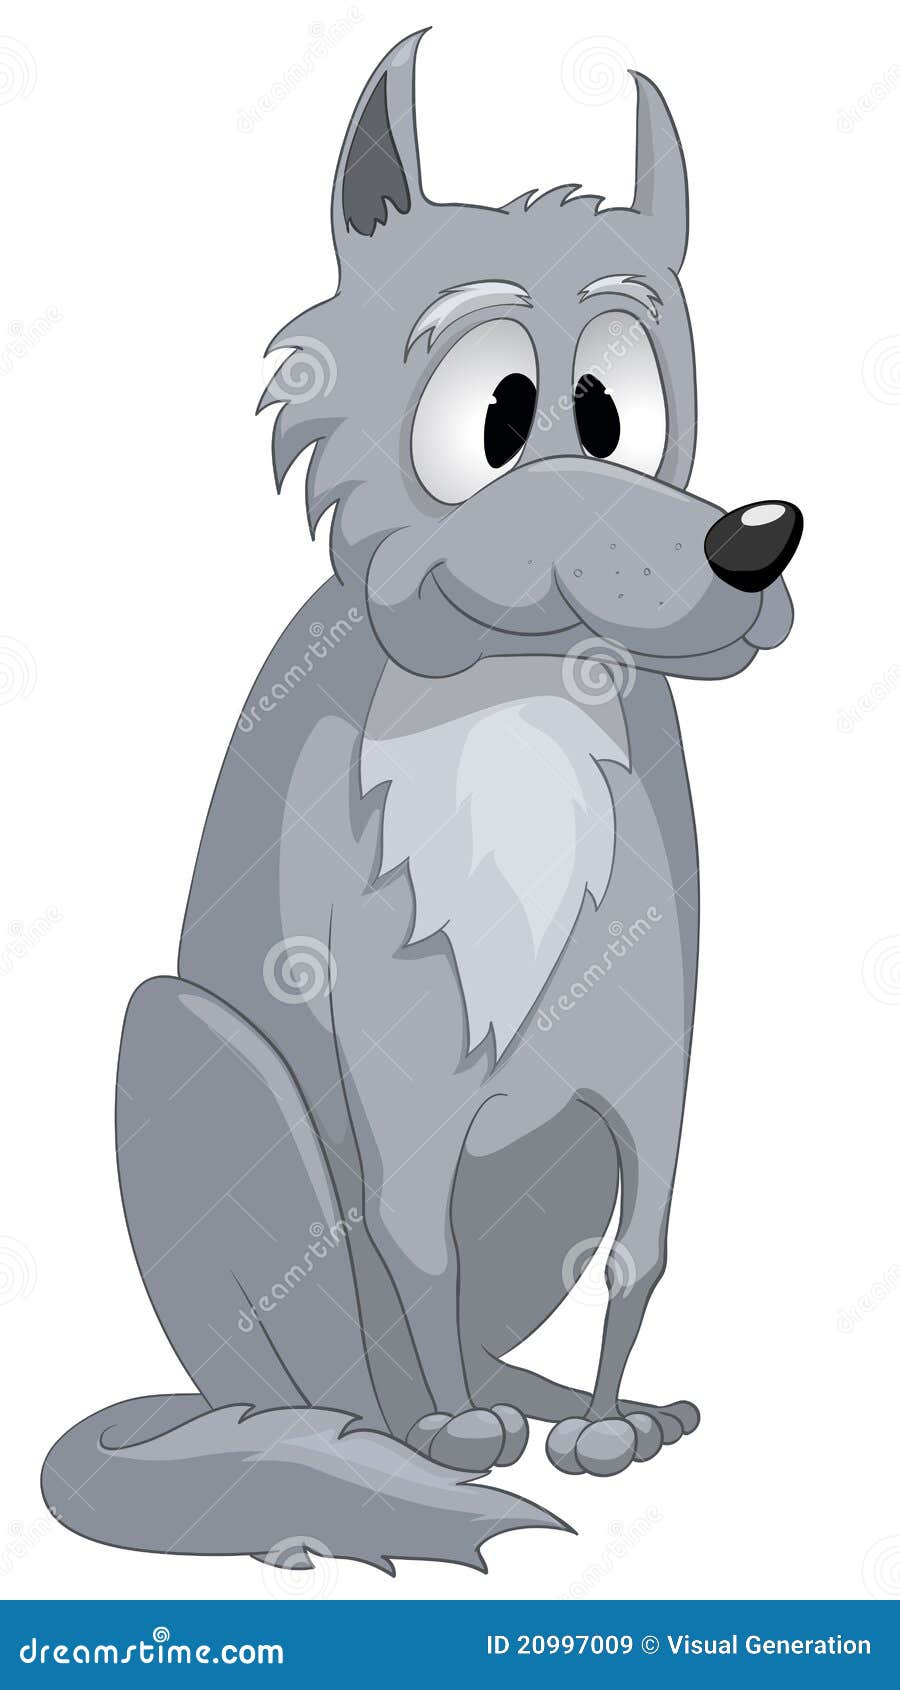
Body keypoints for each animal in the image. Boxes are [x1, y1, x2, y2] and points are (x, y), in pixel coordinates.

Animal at [42, 31, 801, 1572]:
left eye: (615, 413)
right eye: (501, 416)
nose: (758, 544)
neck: (512, 687)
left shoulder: (655, 1034)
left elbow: (646, 1239)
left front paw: (607, 1421)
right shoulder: (391, 1073)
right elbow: (408, 1235)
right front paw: (443, 1443)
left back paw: (538, 1400)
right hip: (195, 1052)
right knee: (330, 1356)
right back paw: (374, 1443)